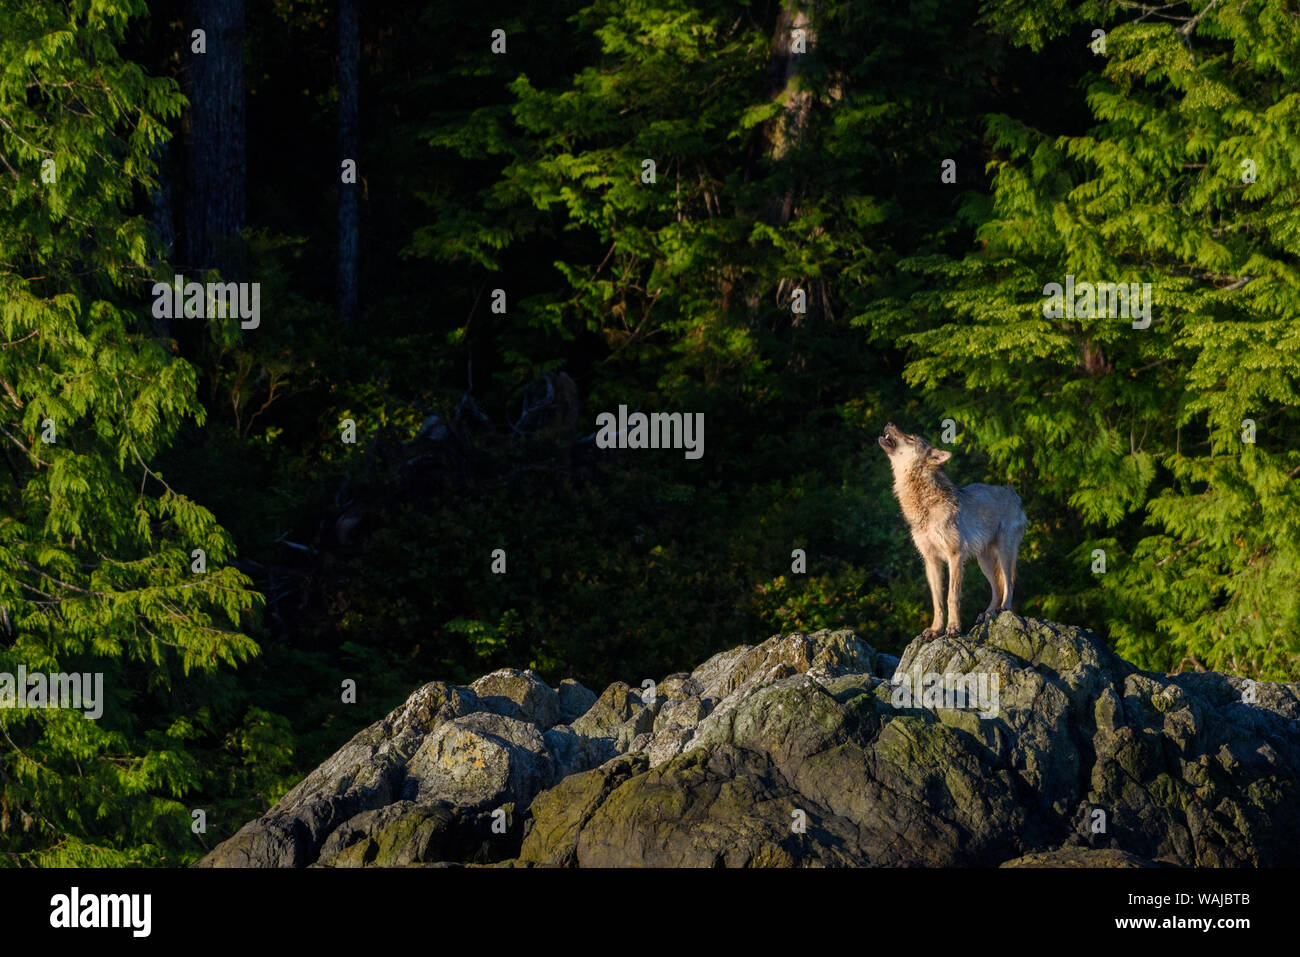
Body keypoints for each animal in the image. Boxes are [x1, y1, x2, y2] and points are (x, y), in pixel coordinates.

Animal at [878, 423, 1026, 640]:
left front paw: (953, 628)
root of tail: (1013, 493)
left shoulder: (954, 556)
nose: (889, 424)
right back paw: (987, 613)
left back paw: (1003, 609)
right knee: (997, 588)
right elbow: (937, 601)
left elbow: (951, 597)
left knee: (1010, 582)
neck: (924, 504)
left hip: (1004, 553)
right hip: (984, 561)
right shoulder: (931, 561)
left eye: (911, 438)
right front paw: (935, 629)